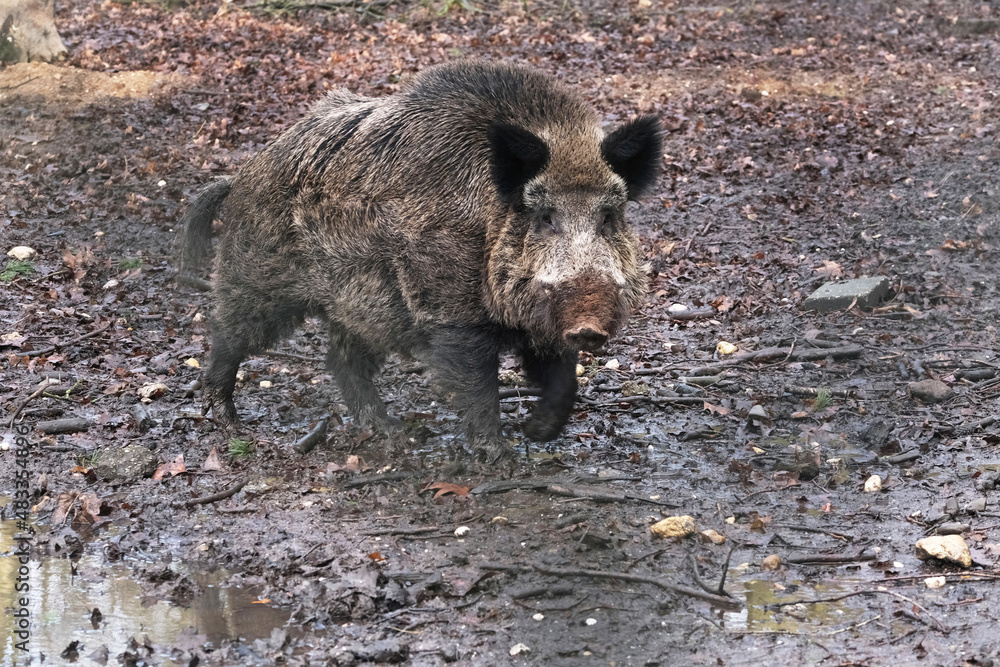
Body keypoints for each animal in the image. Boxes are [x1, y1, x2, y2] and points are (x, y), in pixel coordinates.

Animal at [177, 60, 662, 463]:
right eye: (545, 217)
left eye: (608, 216)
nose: (589, 326)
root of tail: (240, 176)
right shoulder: (451, 313)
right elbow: (477, 385)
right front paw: (499, 457)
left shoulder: (539, 326)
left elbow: (563, 378)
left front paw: (538, 433)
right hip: (258, 275)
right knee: (228, 332)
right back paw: (226, 417)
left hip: (361, 307)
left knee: (341, 361)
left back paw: (393, 432)